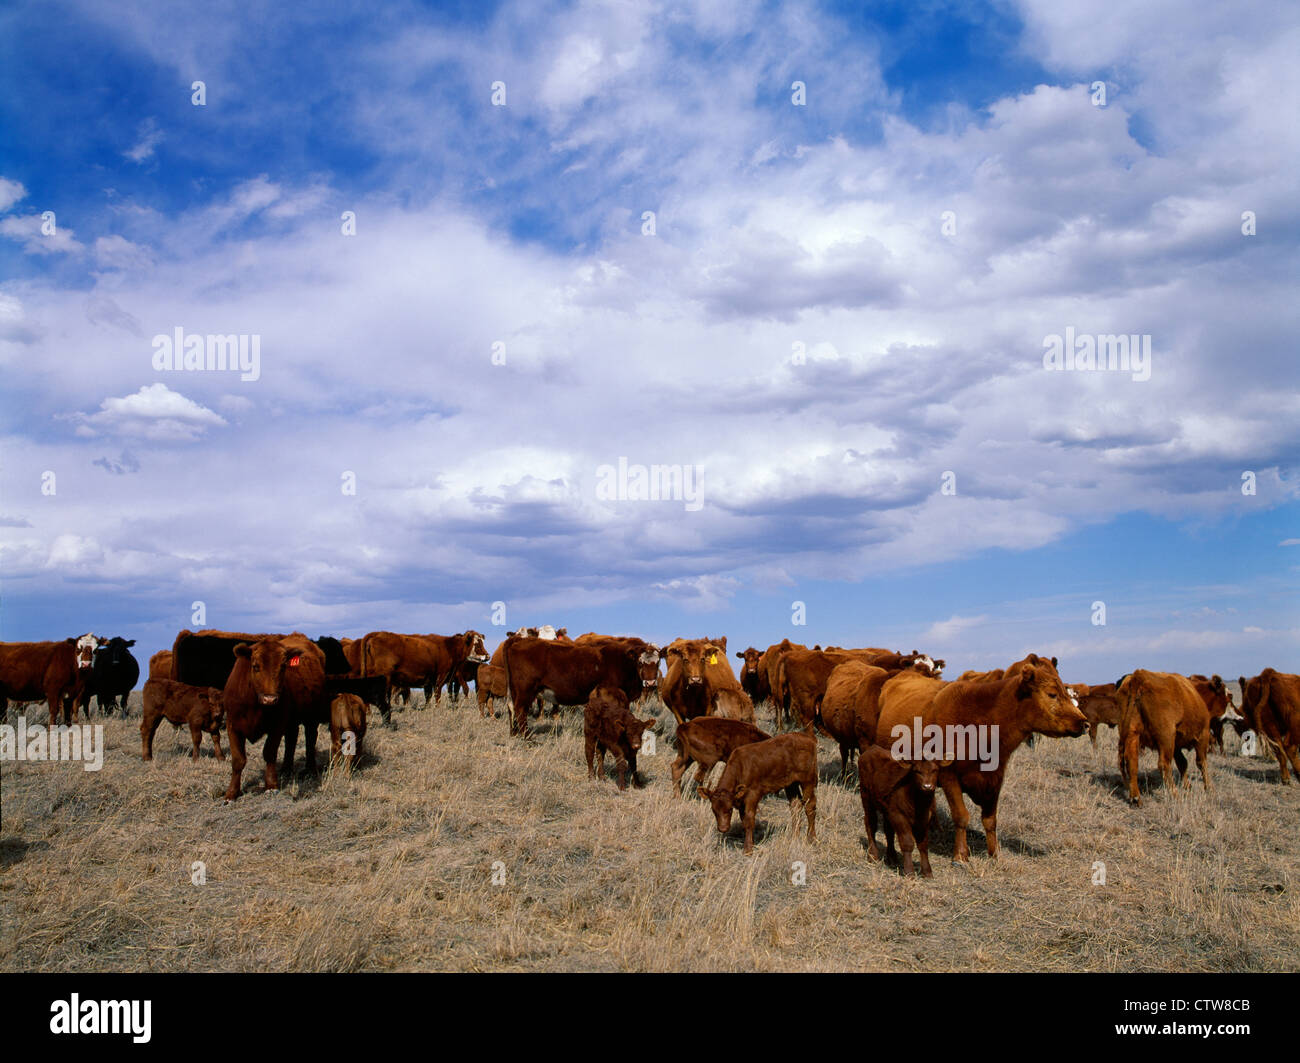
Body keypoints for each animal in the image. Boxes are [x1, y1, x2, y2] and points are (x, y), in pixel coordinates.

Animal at [221, 633, 328, 801]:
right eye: (255, 666)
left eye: (283, 667)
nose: (270, 699)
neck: (255, 705)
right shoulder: (232, 725)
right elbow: (238, 760)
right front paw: (231, 793)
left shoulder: (277, 724)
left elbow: (269, 752)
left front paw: (271, 785)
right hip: (292, 720)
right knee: (291, 739)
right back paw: (286, 769)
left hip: (312, 715)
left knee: (310, 738)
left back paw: (310, 769)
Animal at [501, 635, 658, 736]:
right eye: (640, 662)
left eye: (658, 662)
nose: (650, 682)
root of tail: (519, 639)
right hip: (525, 690)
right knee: (520, 710)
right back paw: (528, 738)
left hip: (514, 690)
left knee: (511, 707)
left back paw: (514, 733)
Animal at [859, 745, 942, 878]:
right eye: (916, 771)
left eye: (935, 770)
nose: (927, 786)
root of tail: (873, 748)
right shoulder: (899, 816)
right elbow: (907, 843)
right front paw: (909, 872)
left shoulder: (925, 819)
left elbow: (923, 844)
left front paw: (927, 872)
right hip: (866, 796)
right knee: (870, 824)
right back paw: (873, 855)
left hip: (887, 808)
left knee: (888, 831)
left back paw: (892, 858)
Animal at [874, 656, 1088, 861]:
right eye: (1052, 694)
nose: (1084, 723)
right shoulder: (949, 776)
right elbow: (961, 816)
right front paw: (960, 854)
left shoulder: (995, 778)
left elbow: (990, 820)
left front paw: (995, 853)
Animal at [1115, 670, 1212, 805]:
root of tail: (1138, 675)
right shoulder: (1202, 736)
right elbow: (1201, 763)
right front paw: (1208, 788)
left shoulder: (1176, 745)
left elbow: (1183, 763)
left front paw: (1188, 786)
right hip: (1166, 737)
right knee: (1164, 764)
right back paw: (1175, 795)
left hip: (1132, 734)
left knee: (1131, 761)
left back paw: (1136, 797)